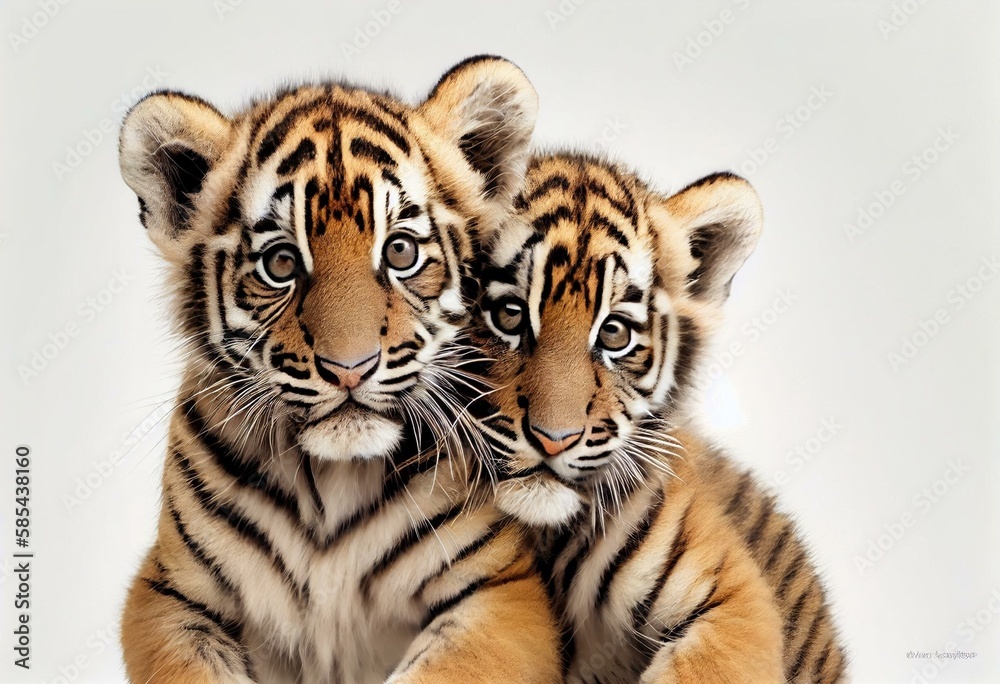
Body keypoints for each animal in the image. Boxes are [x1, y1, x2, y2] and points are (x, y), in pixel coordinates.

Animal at [116, 56, 563, 684]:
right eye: (281, 262)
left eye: (400, 251)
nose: (349, 369)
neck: (331, 478)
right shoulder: (166, 592)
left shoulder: (504, 590)